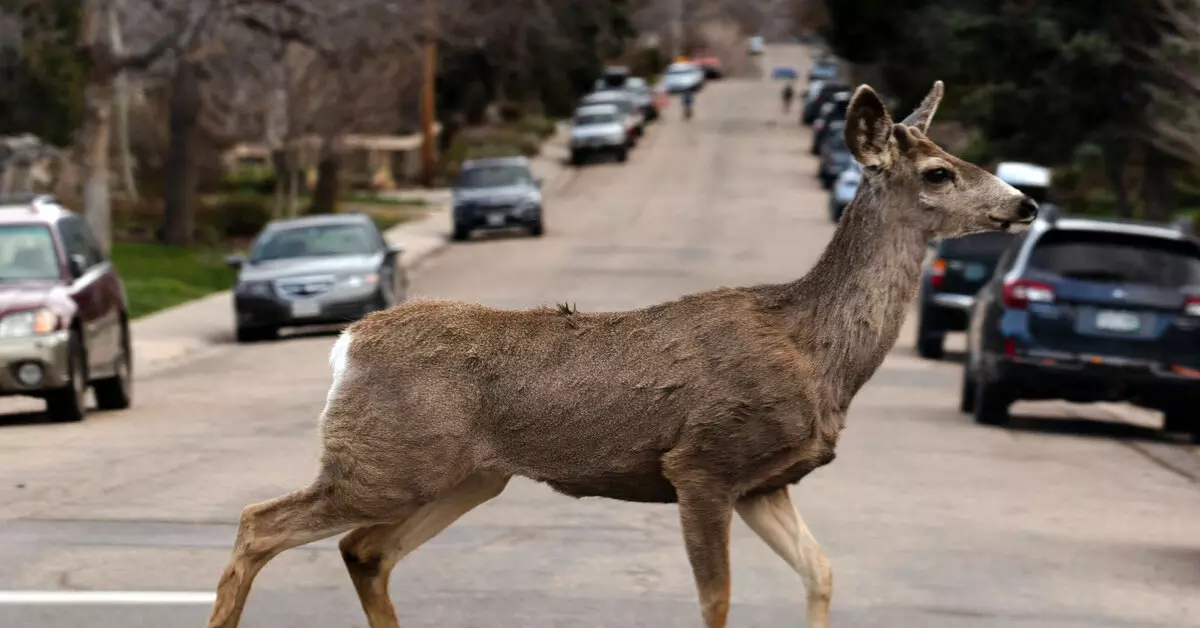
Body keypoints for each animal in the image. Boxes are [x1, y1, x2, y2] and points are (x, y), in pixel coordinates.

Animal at [206, 81, 1041, 624]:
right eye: (938, 171)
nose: (1026, 202)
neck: (815, 350)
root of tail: (348, 343)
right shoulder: (702, 464)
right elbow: (716, 600)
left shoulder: (764, 482)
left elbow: (823, 574)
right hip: (387, 462)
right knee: (259, 523)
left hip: (465, 476)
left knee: (363, 551)